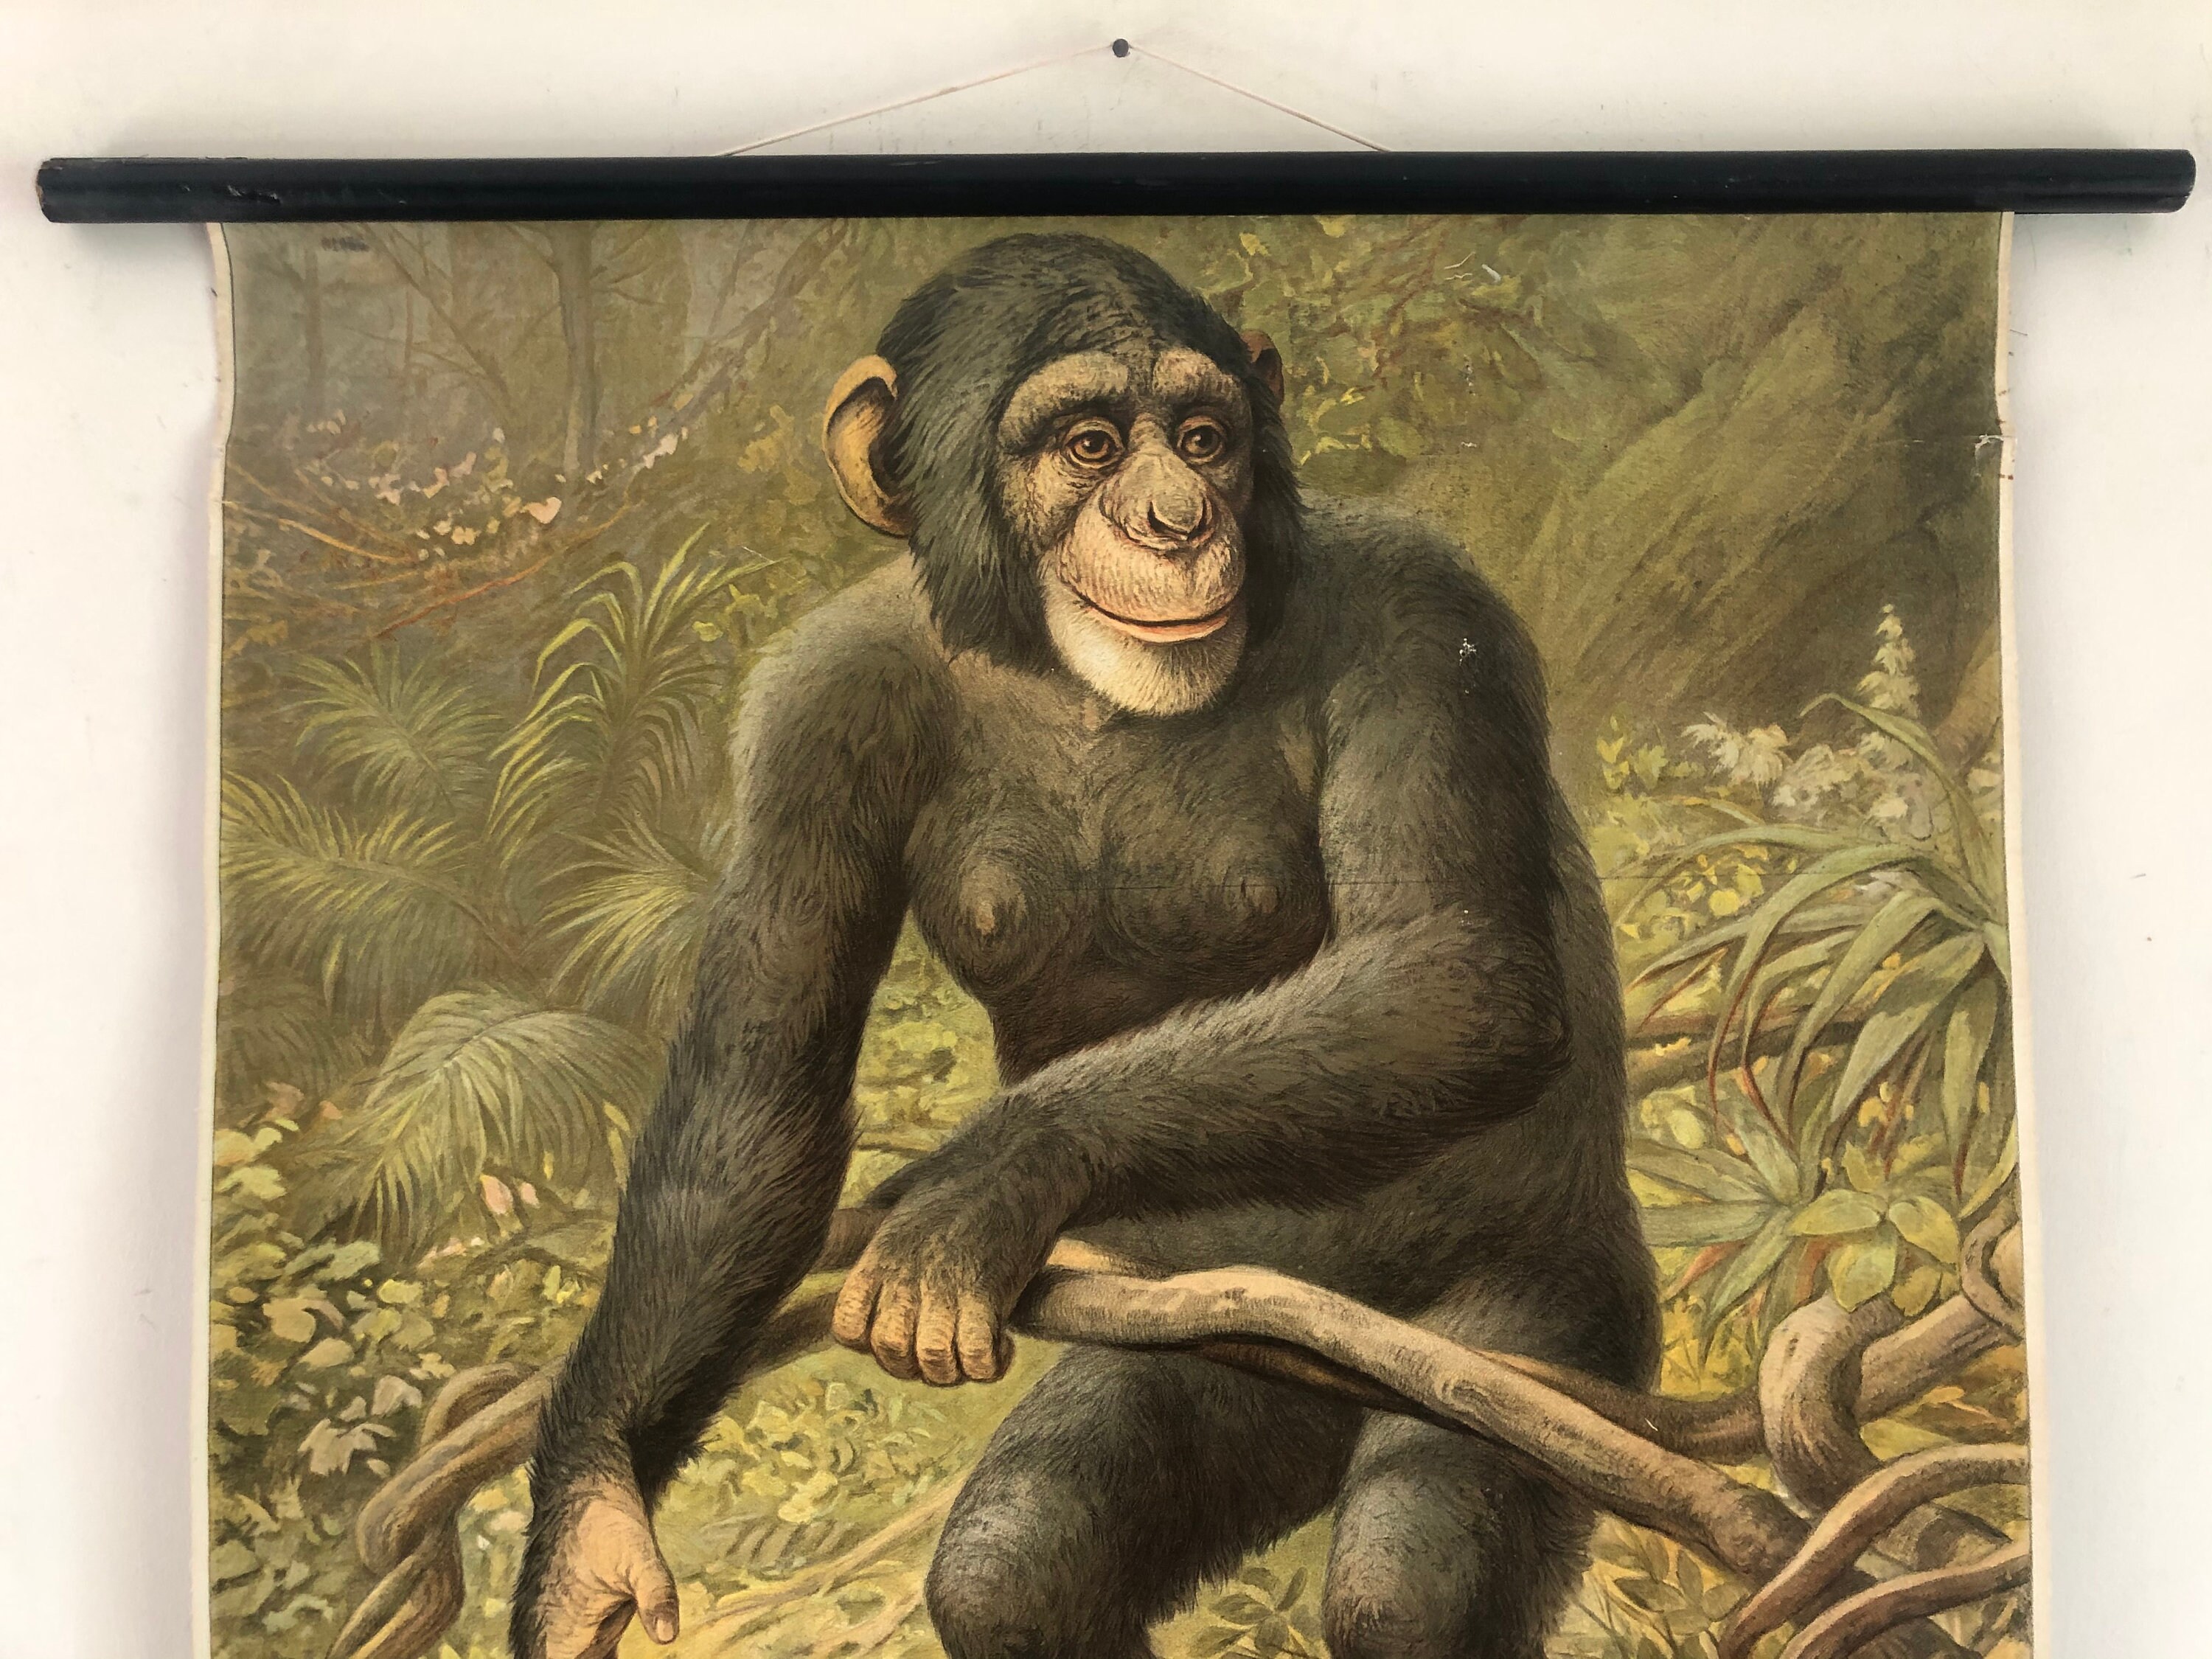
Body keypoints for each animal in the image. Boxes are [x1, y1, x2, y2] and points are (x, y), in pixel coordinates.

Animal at [512, 232, 1660, 1659]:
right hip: (1217, 1345)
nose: (1176, 518)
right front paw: (589, 1524)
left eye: (1206, 436)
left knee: (1411, 1581)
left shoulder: (1422, 613)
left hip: (1543, 1330)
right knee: (1021, 1560)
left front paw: (981, 1182)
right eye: (1091, 443)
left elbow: (1452, 965)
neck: (1070, 676)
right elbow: (754, 1100)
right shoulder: (815, 715)